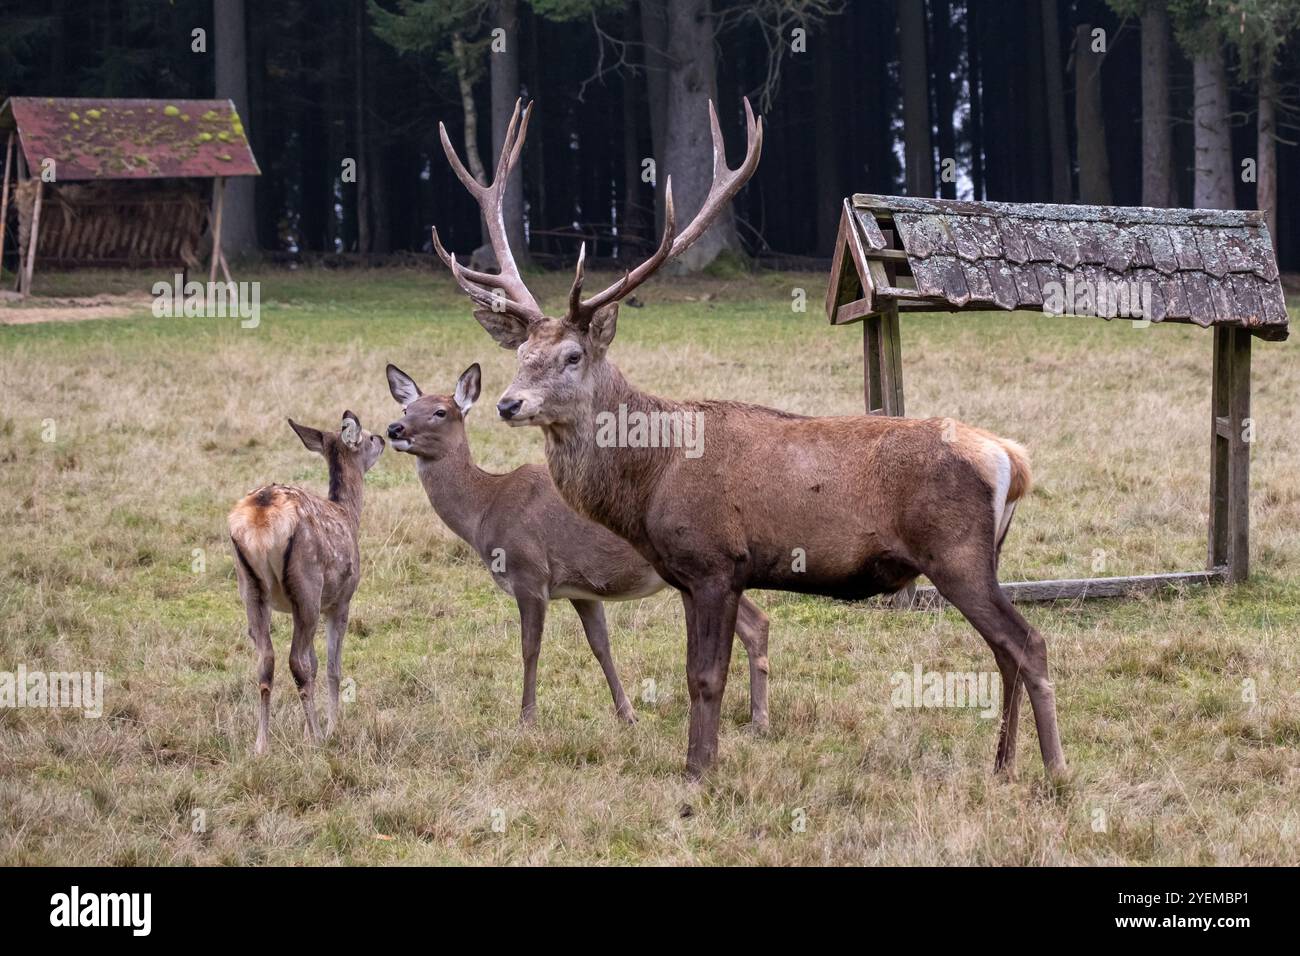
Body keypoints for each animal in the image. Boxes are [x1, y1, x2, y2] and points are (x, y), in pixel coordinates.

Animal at [228, 412, 386, 754]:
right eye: (367, 437)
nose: (383, 438)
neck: (349, 514)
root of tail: (260, 523)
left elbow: (314, 663)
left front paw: (307, 729)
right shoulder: (340, 600)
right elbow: (330, 668)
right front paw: (331, 728)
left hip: (250, 588)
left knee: (266, 660)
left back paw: (261, 744)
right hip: (307, 586)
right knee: (296, 662)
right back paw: (315, 739)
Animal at [384, 361, 772, 730]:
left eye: (440, 411)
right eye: (406, 407)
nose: (394, 429)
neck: (485, 510)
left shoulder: (529, 572)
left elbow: (530, 647)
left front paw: (526, 719)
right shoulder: (580, 587)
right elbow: (601, 645)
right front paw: (627, 715)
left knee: (755, 622)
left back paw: (759, 720)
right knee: (758, 621)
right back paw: (758, 718)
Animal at [433, 98, 1066, 782]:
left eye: (572, 356)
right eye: (521, 354)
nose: (508, 403)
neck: (650, 479)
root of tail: (1011, 458)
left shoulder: (716, 561)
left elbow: (706, 678)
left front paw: (698, 774)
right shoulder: (686, 576)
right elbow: (697, 674)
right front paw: (698, 763)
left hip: (956, 551)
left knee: (1029, 642)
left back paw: (1055, 771)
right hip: (980, 556)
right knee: (1004, 650)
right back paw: (1001, 766)